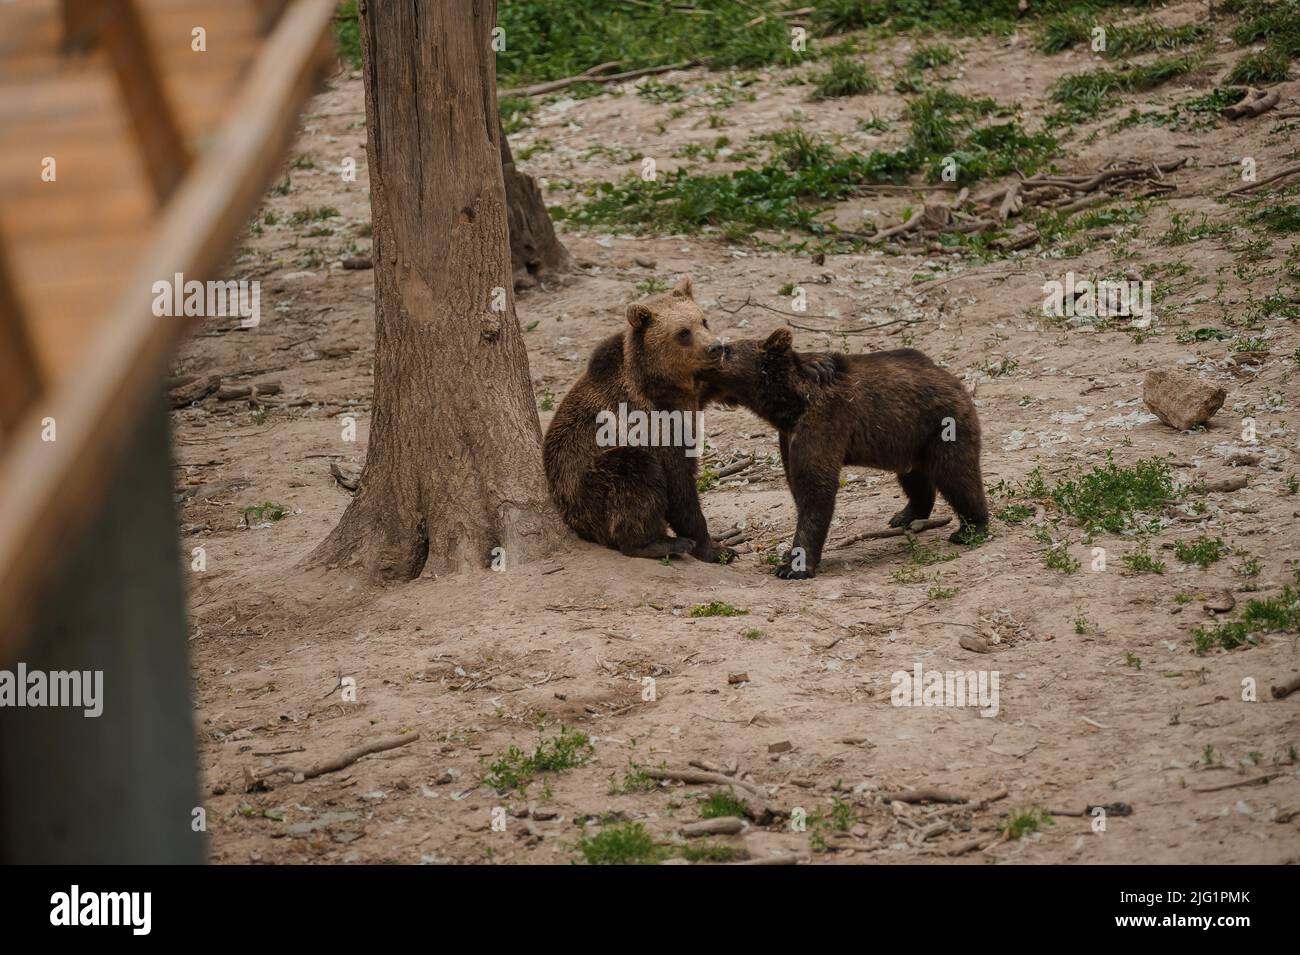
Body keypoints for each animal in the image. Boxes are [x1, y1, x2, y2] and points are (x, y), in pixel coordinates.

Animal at [542, 276, 733, 562]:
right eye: (683, 332)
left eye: (703, 320)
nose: (715, 347)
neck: (664, 386)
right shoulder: (653, 423)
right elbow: (679, 484)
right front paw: (715, 548)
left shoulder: (694, 394)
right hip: (587, 489)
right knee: (635, 472)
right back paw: (661, 543)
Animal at [699, 328, 989, 579]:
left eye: (728, 349)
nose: (713, 347)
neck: (790, 405)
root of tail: (953, 378)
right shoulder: (788, 437)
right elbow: (797, 485)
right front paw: (788, 556)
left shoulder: (824, 423)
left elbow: (815, 489)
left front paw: (793, 566)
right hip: (908, 438)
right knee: (914, 476)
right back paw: (906, 515)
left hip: (942, 425)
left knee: (957, 476)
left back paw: (971, 528)